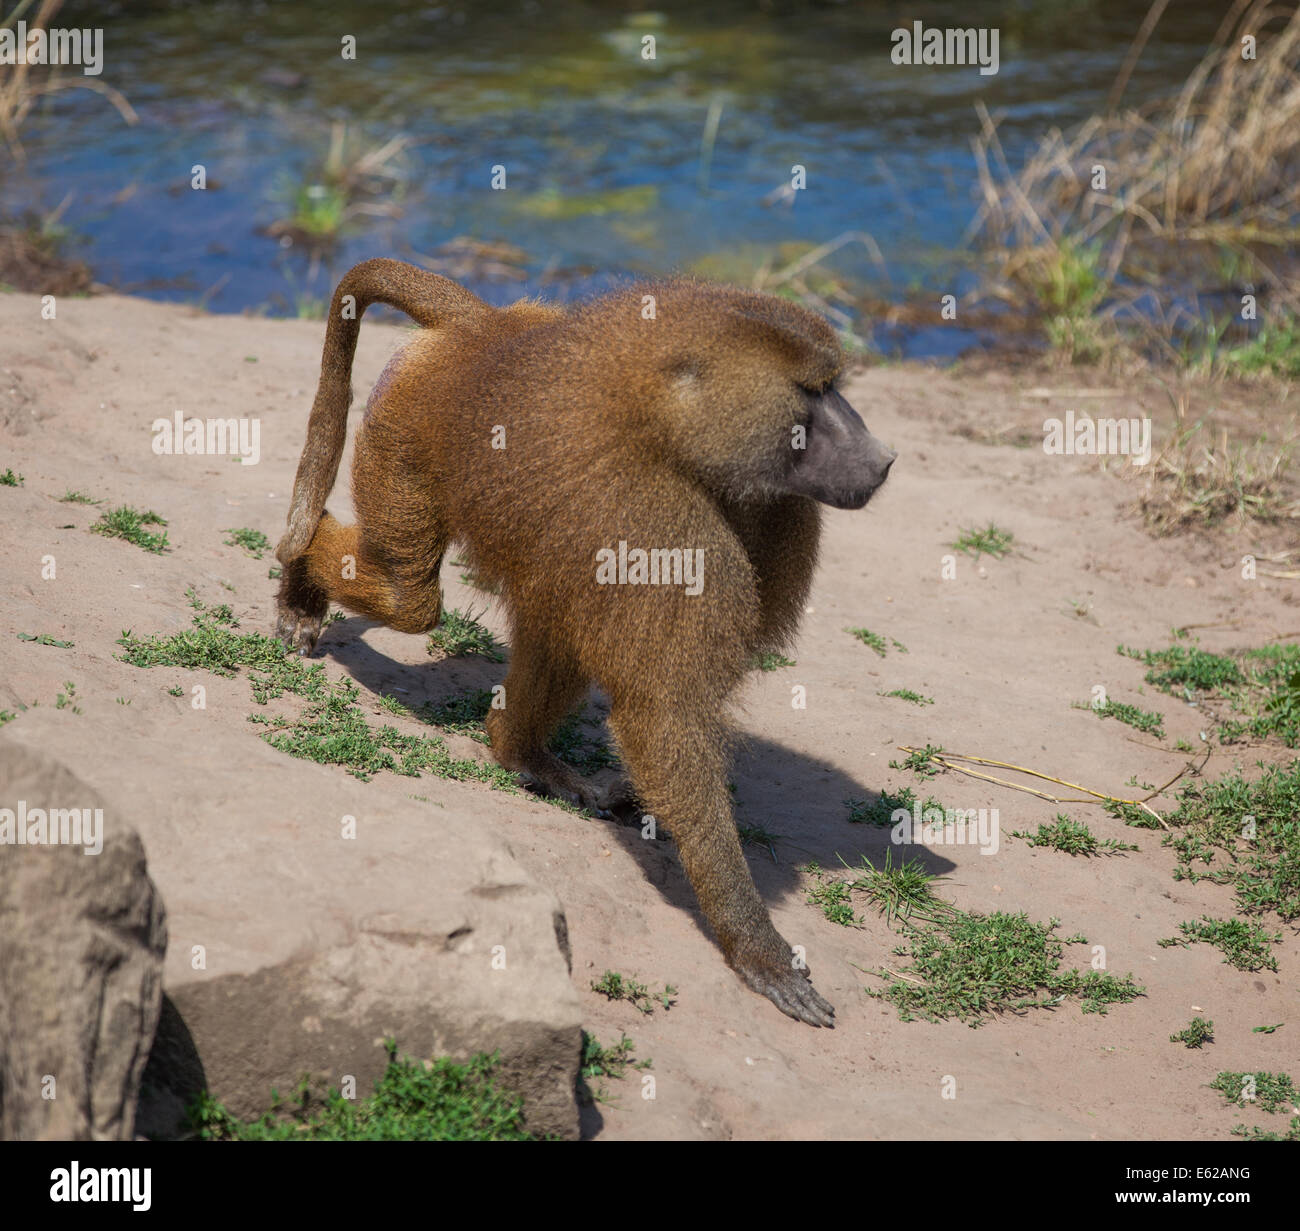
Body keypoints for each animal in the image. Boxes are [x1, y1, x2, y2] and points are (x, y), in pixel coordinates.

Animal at [275, 258, 896, 1026]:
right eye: (812, 393)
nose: (882, 460)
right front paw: (757, 946)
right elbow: (664, 714)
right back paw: (301, 581)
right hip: (407, 425)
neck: (669, 429)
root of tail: (486, 331)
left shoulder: (767, 514)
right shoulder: (658, 523)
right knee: (407, 596)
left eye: (835, 385)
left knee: (546, 628)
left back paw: (522, 753)